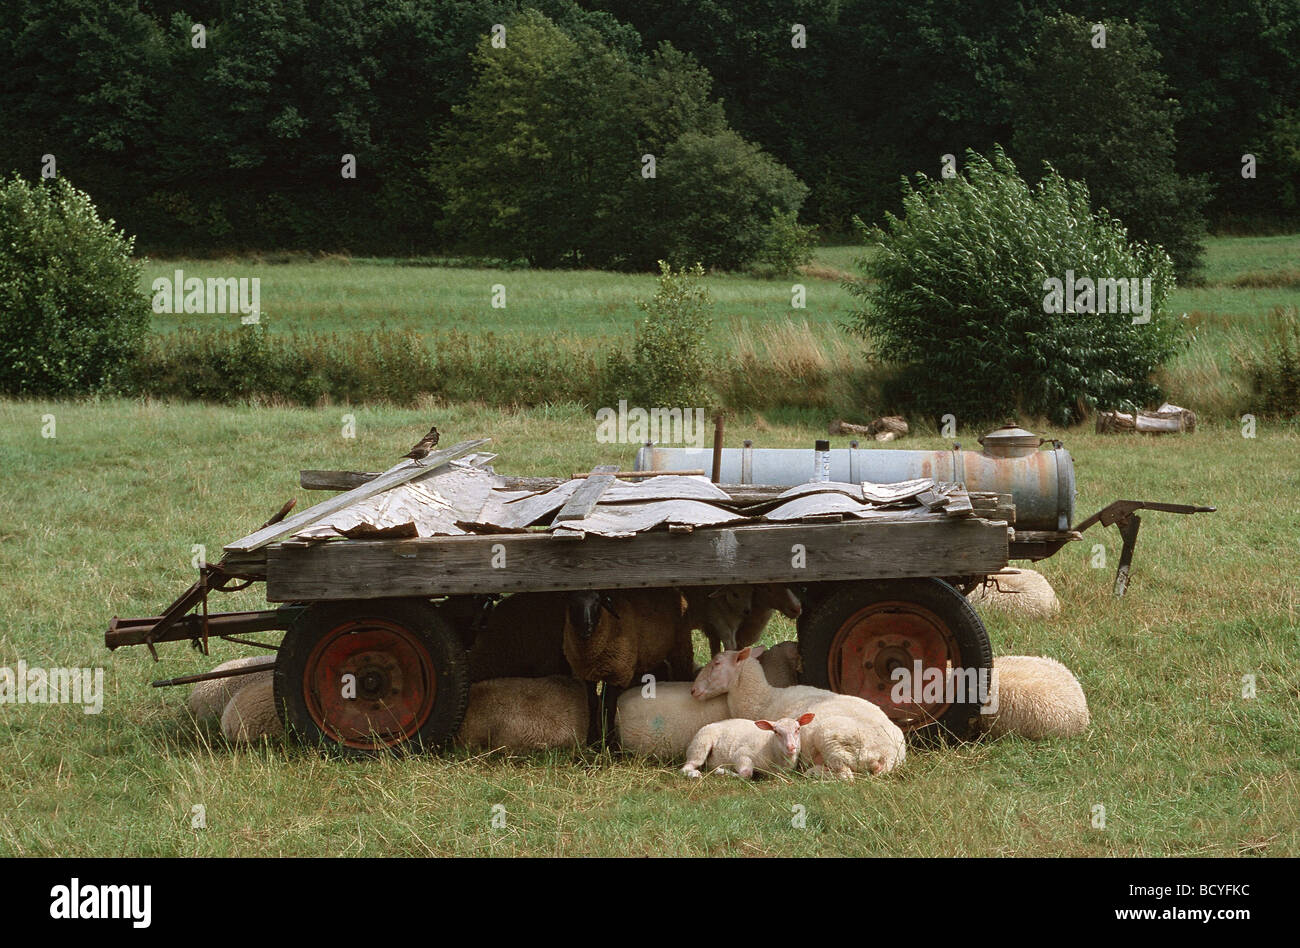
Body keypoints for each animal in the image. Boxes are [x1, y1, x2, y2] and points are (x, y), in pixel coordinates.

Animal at [562, 588, 695, 687]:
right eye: (572, 604)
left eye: (597, 603)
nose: (586, 627)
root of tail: (677, 590)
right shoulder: (587, 676)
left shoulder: (619, 673)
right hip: (652, 652)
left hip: (681, 645)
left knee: (684, 669)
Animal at [681, 713, 815, 779]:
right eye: (776, 732)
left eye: (798, 729)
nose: (791, 747)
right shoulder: (742, 754)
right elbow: (746, 774)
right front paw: (721, 771)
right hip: (700, 744)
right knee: (687, 767)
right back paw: (694, 774)